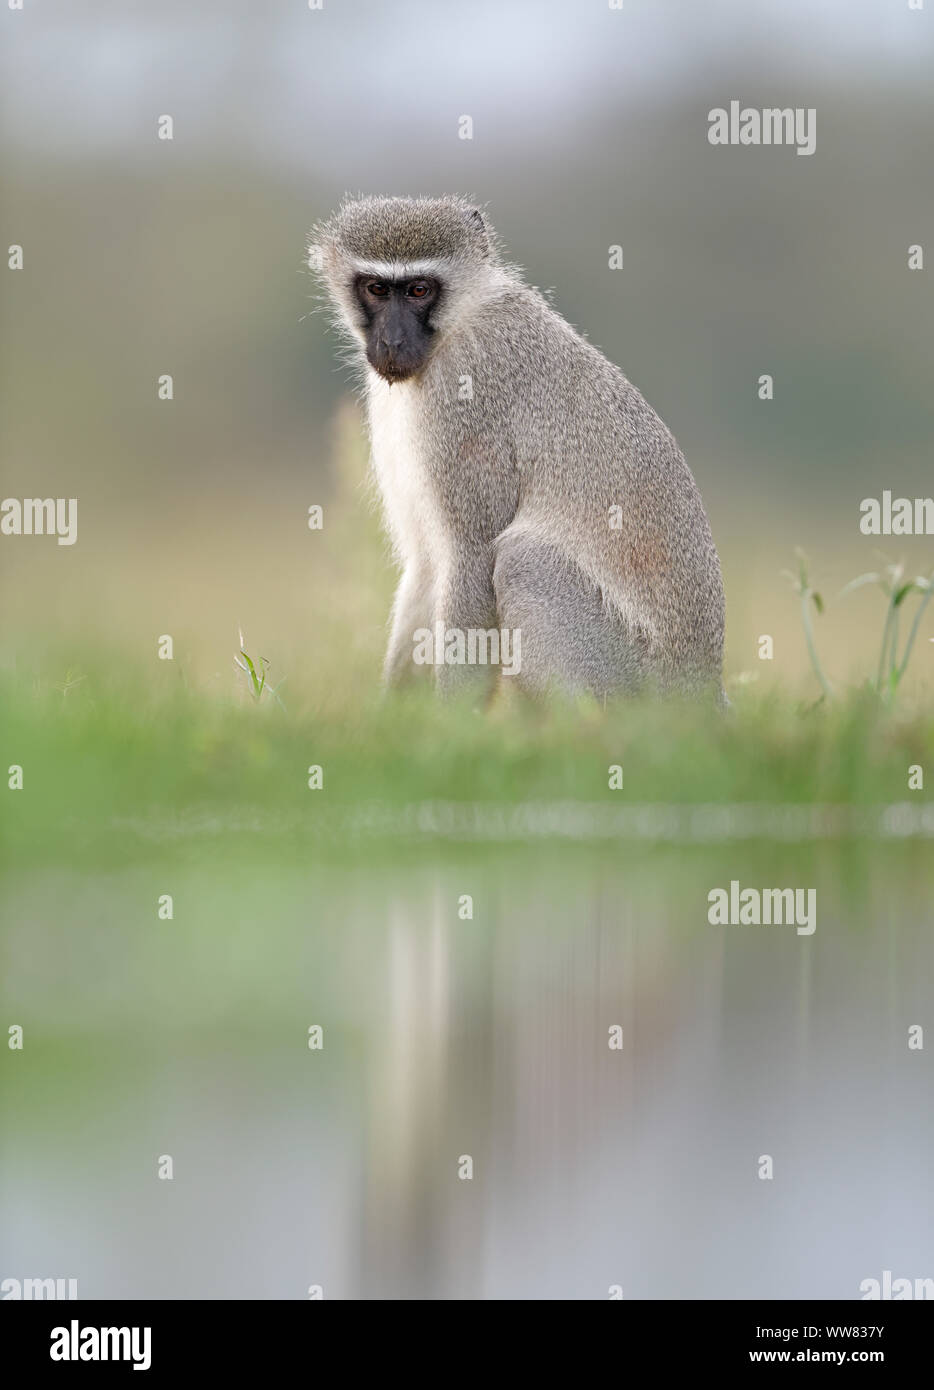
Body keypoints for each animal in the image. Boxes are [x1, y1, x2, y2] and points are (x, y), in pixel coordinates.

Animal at [310, 195, 725, 704]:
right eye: (376, 289)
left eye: (418, 291)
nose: (392, 341)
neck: (459, 324)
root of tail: (701, 689)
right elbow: (426, 563)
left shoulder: (465, 398)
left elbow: (469, 556)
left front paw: (455, 721)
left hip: (630, 677)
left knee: (522, 559)